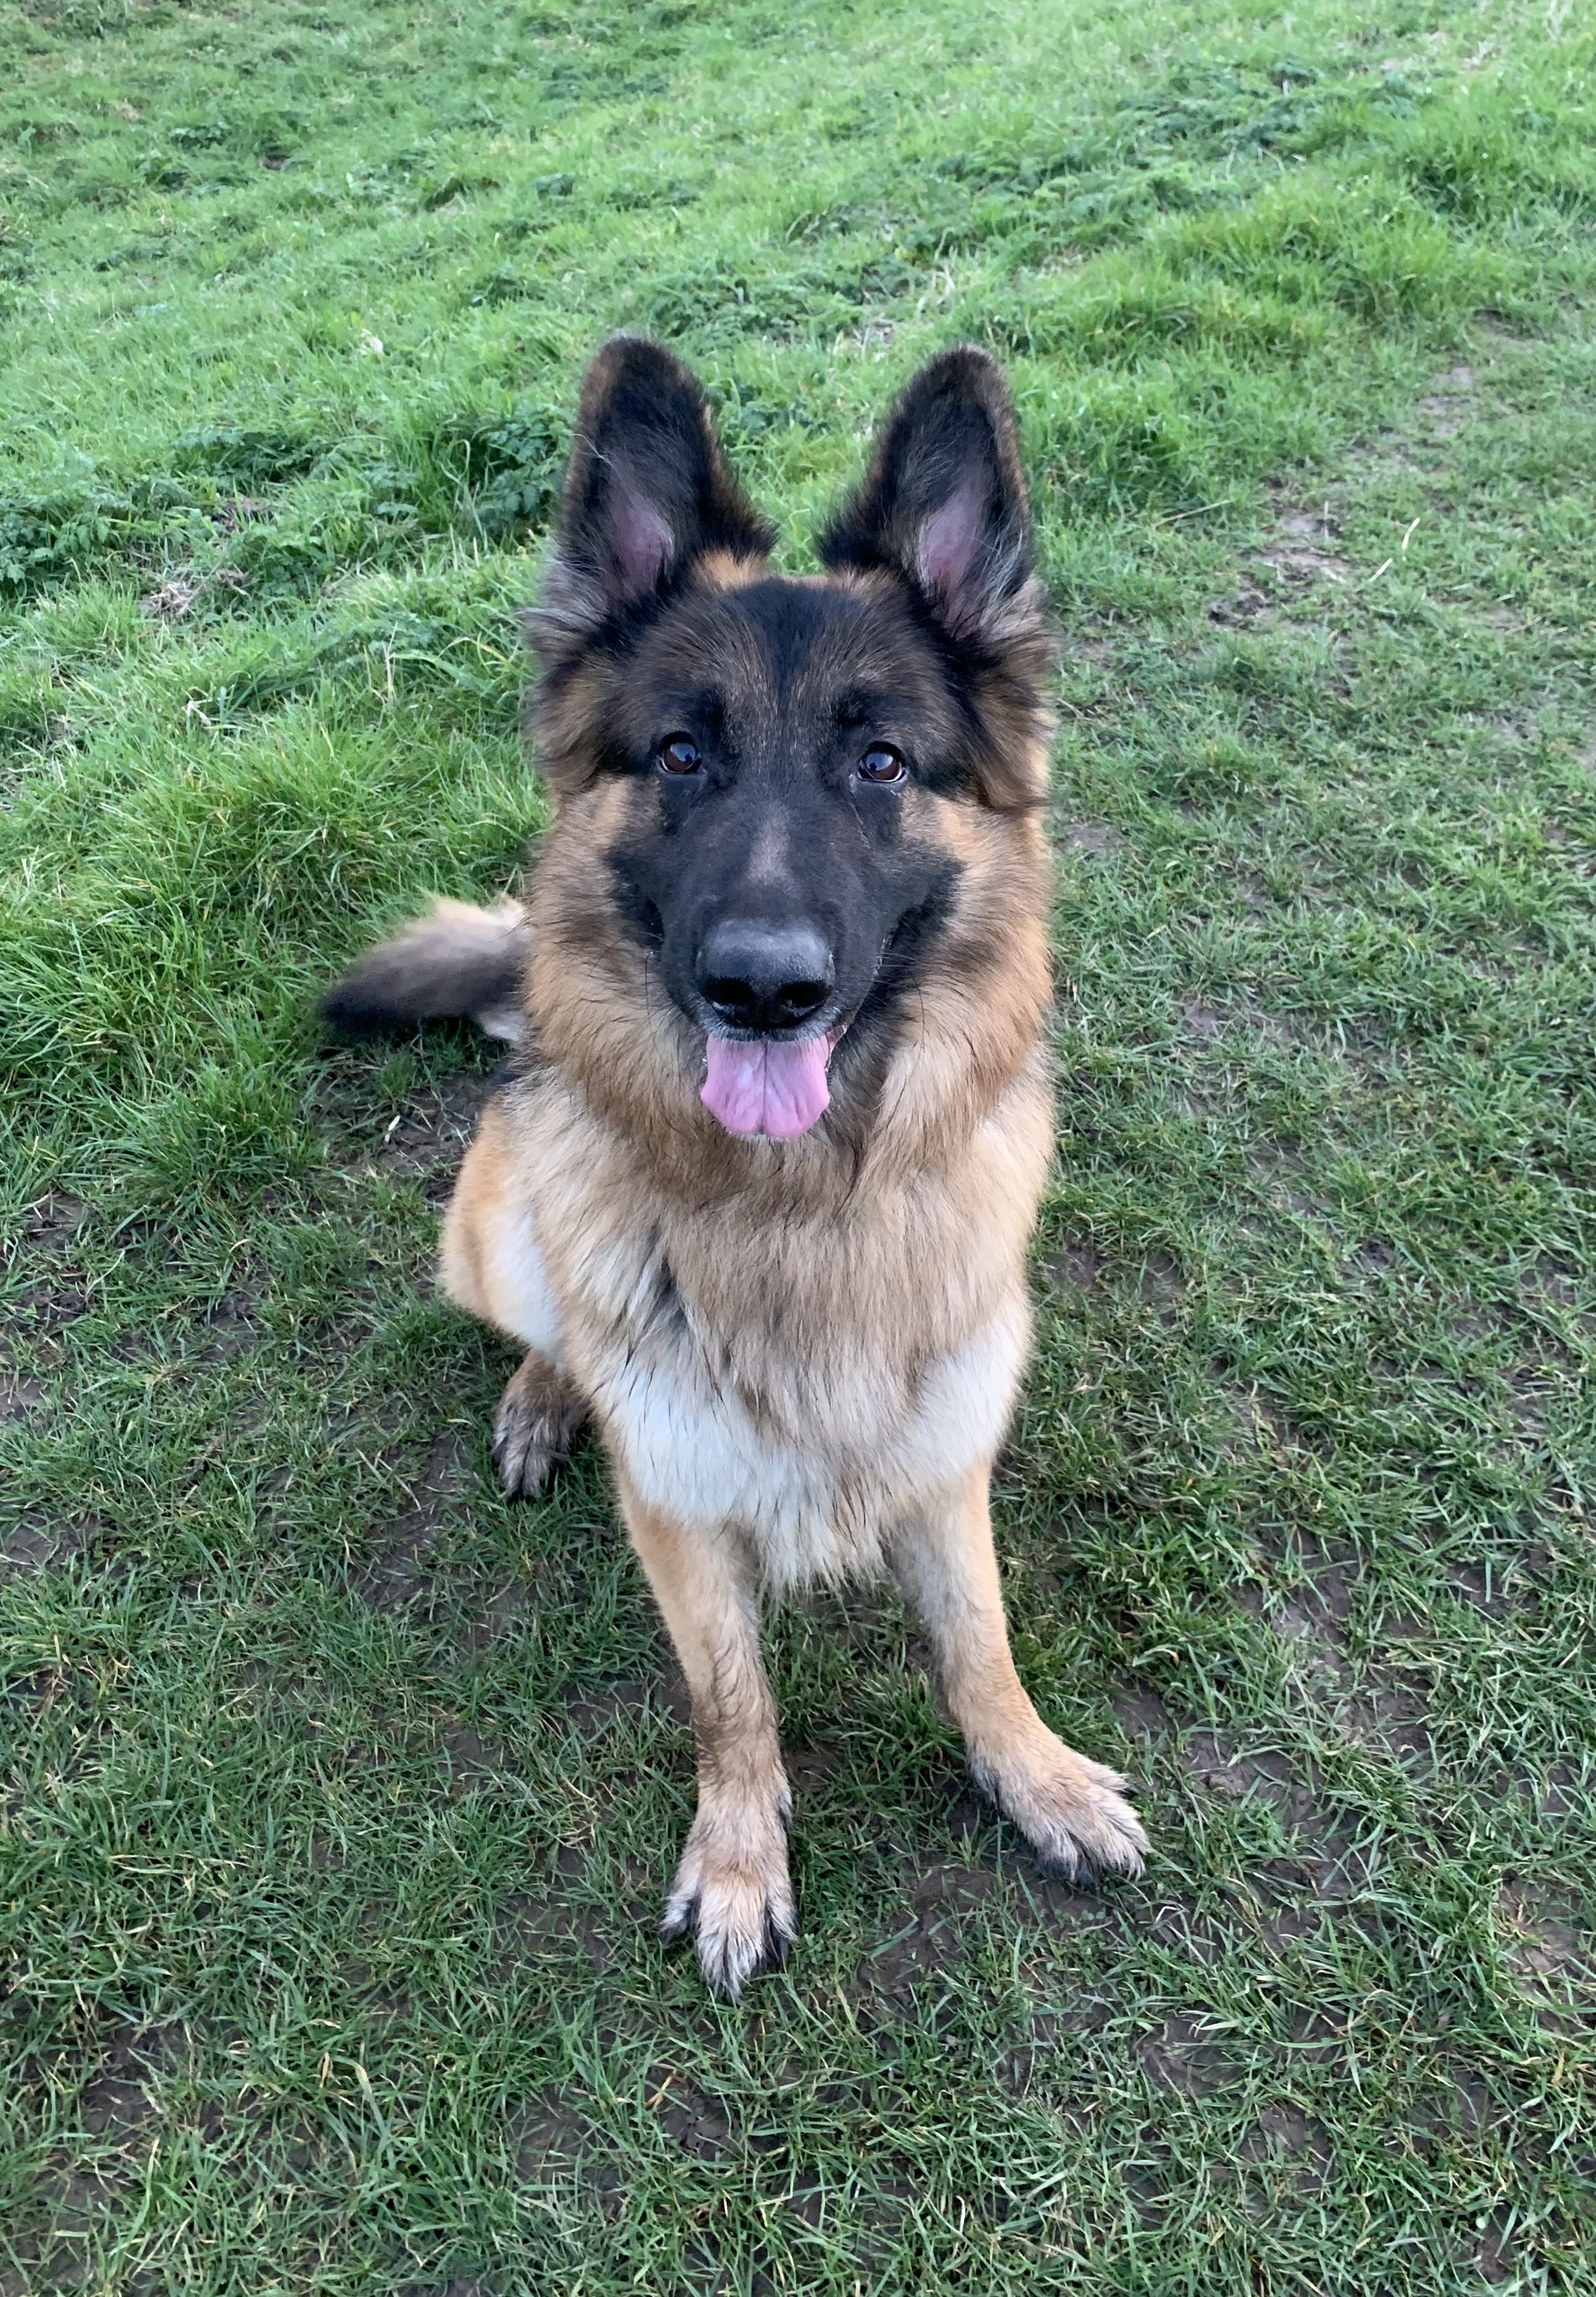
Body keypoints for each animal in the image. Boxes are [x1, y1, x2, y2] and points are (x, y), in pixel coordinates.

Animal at [325, 336, 1148, 1996]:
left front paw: (1030, 1775)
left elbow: (980, 1645)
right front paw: (738, 1859)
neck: (800, 1214)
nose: (762, 988)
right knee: (550, 1325)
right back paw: (544, 1396)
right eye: (683, 754)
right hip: (492, 1230)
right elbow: (733, 1699)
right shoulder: (681, 1508)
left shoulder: (945, 1461)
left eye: (881, 761)